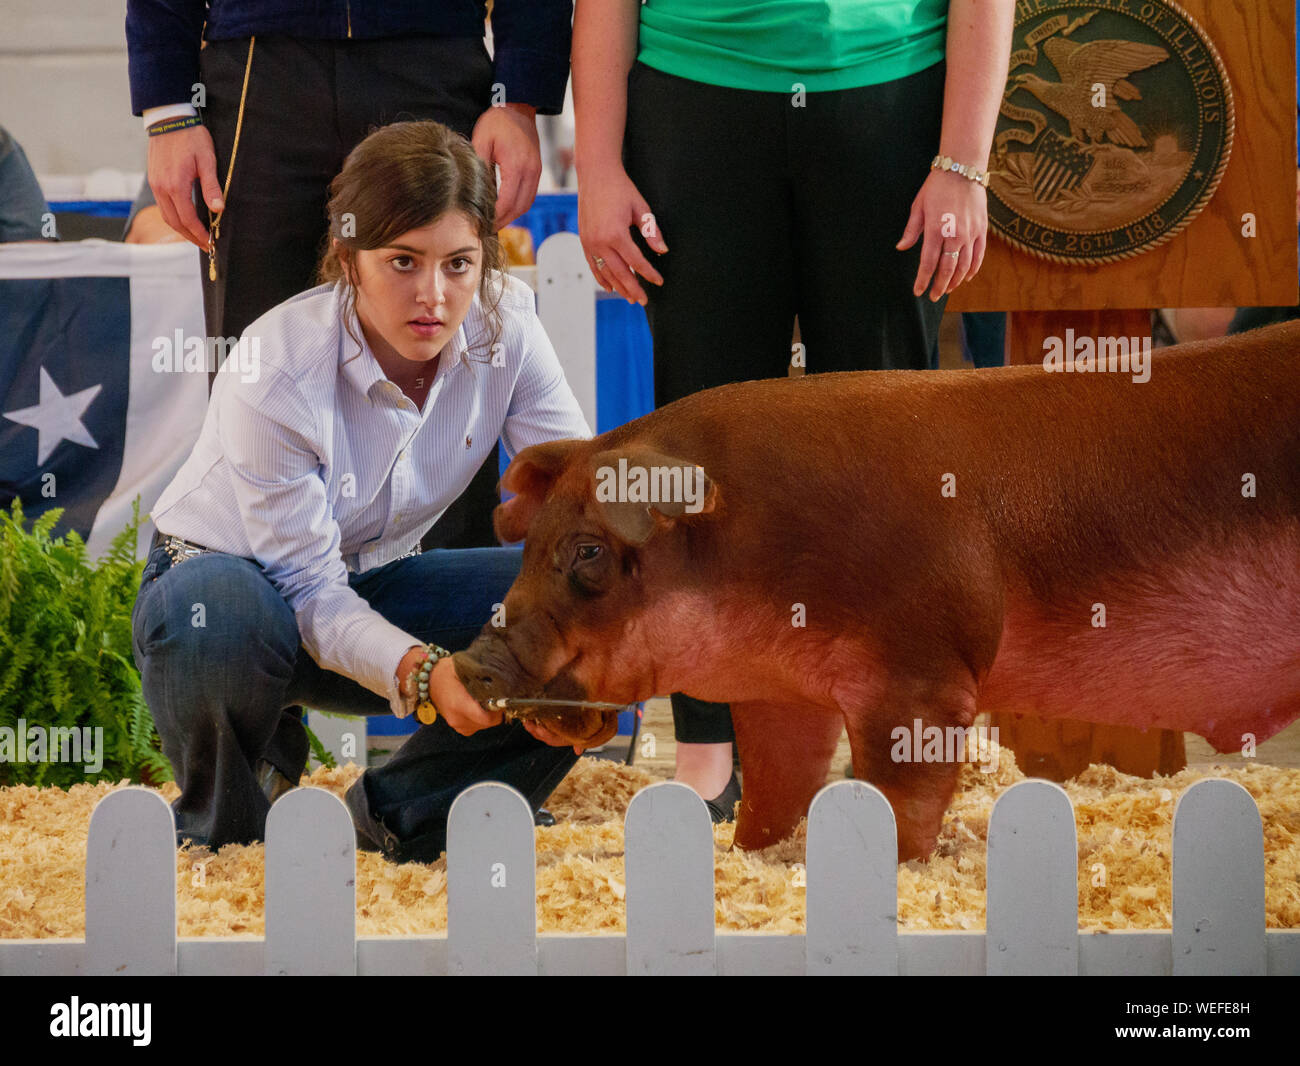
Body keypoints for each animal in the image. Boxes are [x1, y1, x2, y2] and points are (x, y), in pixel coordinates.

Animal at [454, 321, 1300, 860]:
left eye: (588, 551)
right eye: (528, 546)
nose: (471, 665)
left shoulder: (921, 675)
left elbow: (901, 797)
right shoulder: (777, 691)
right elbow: (777, 786)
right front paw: (751, 854)